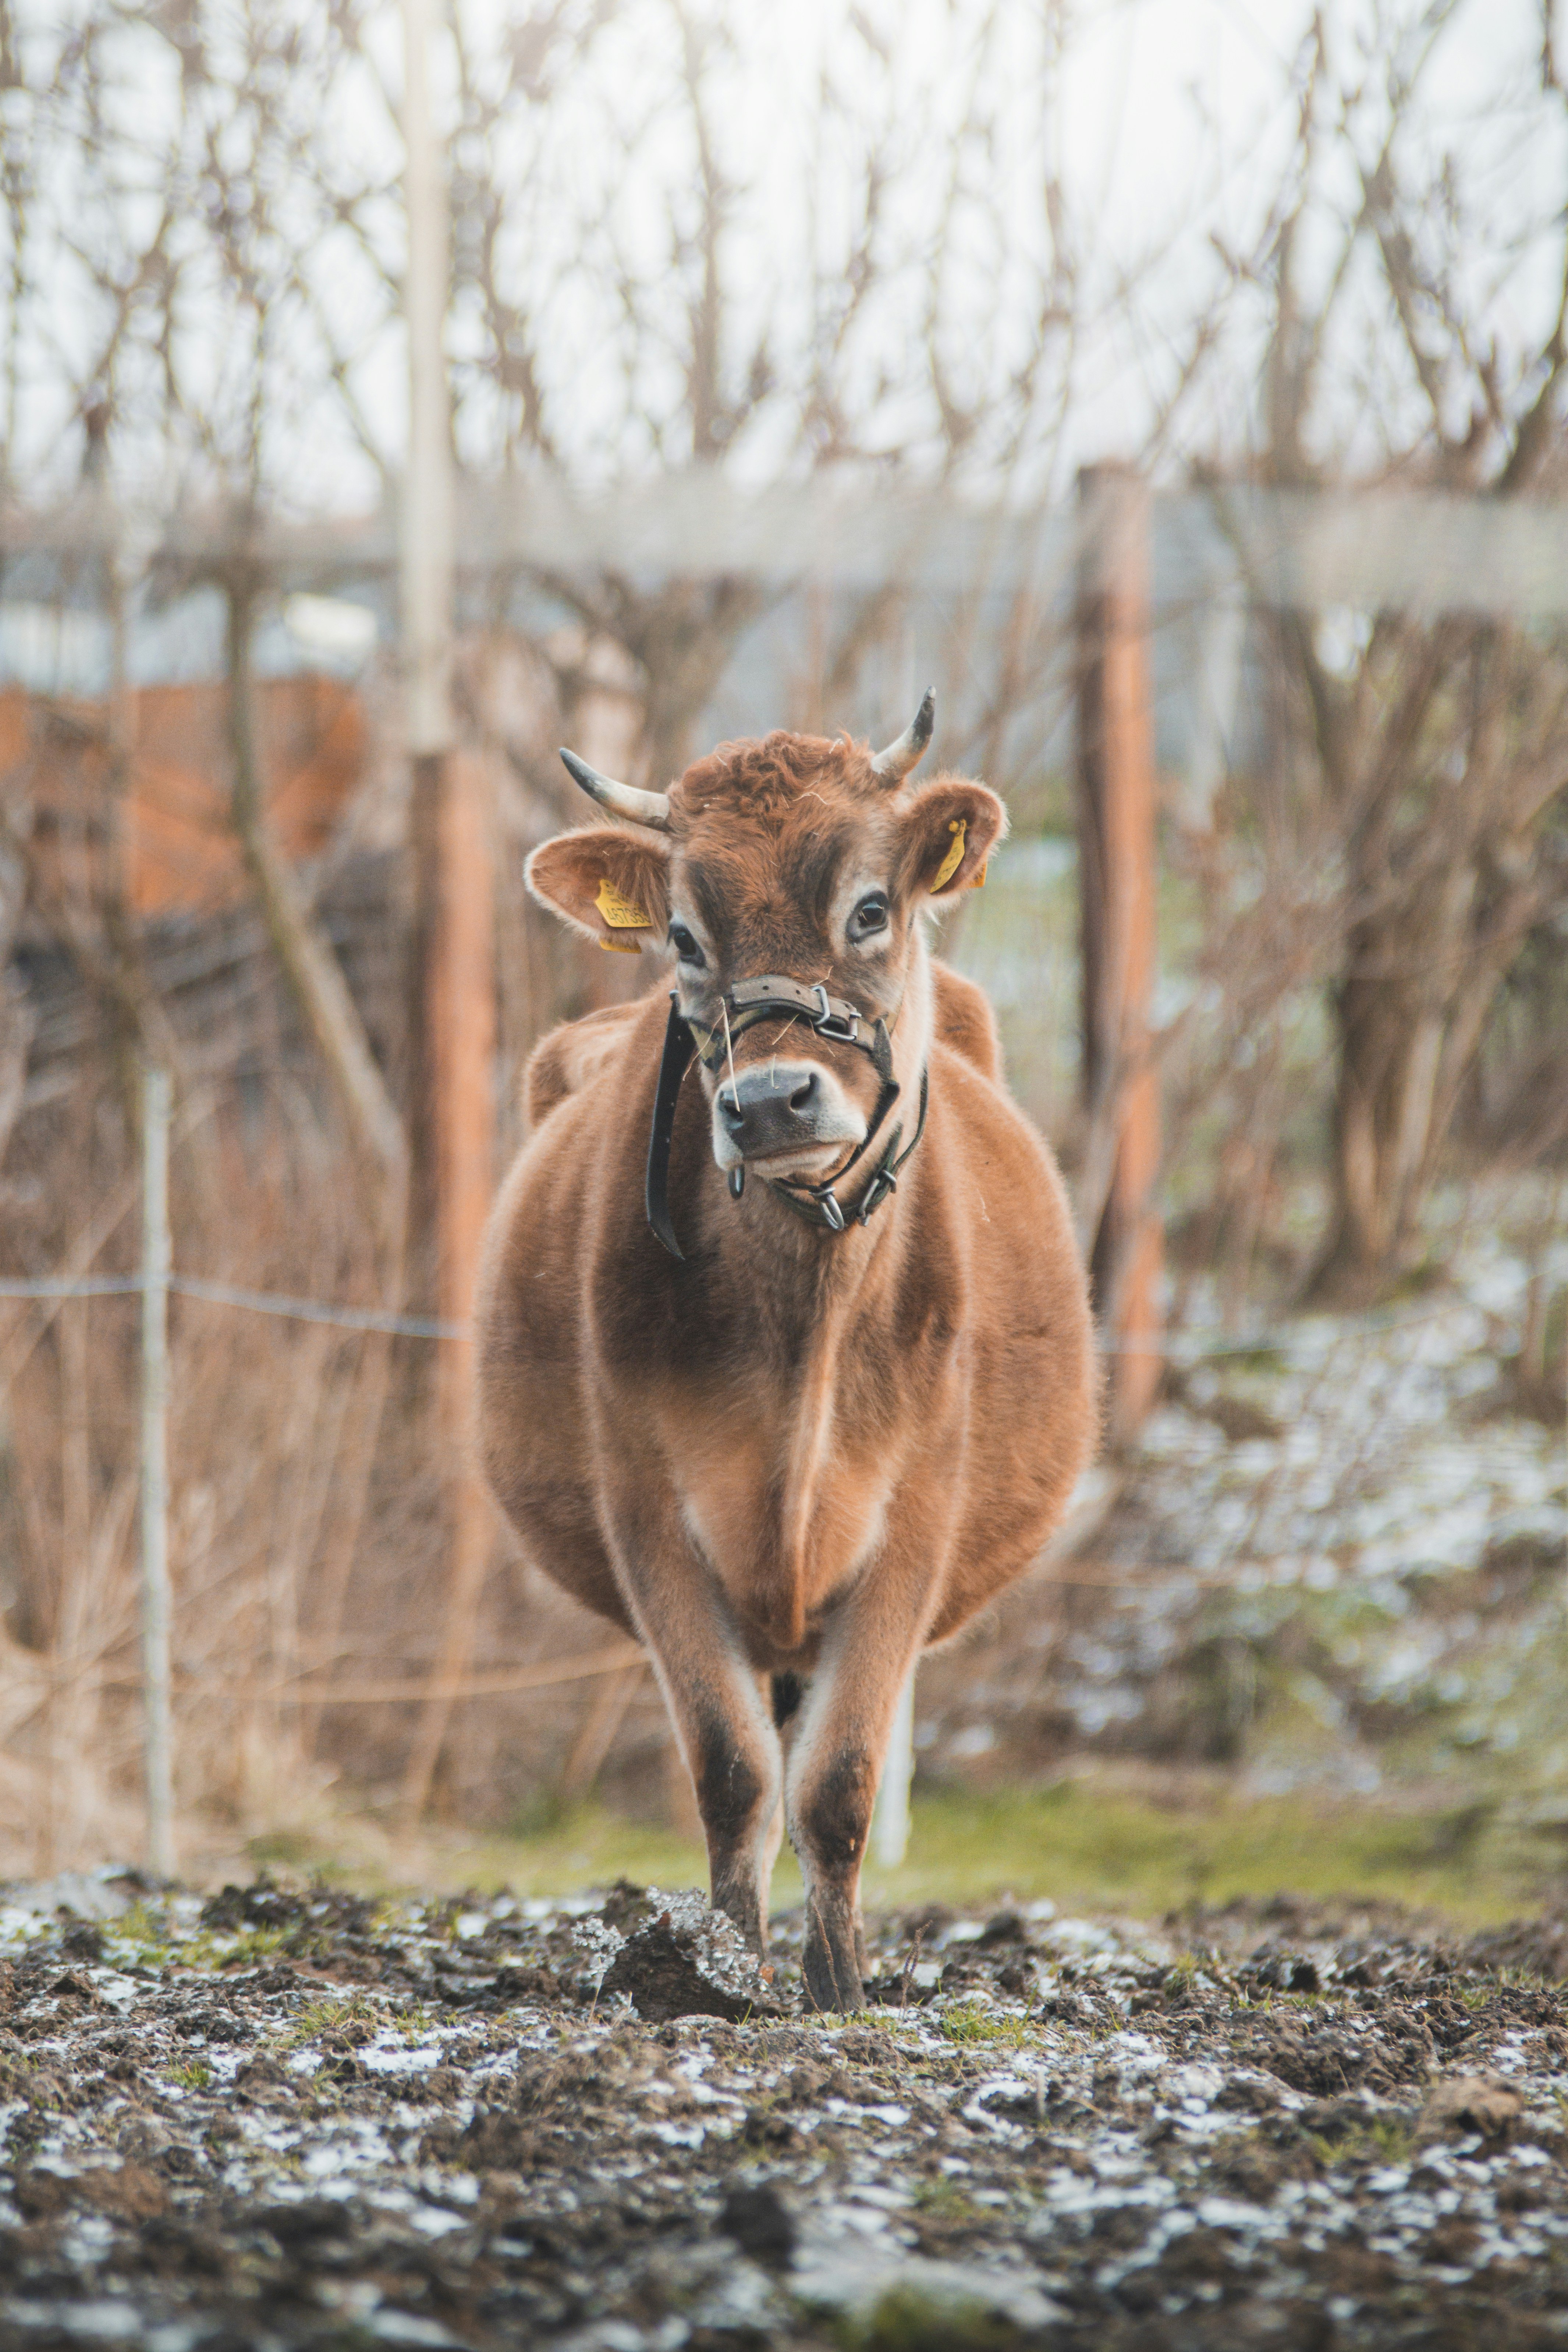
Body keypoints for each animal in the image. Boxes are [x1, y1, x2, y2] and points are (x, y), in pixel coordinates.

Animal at [476, 696, 1096, 2011]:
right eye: (681, 935)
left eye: (868, 908)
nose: (768, 1104)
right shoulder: (650, 1517)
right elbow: (734, 1772)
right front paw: (723, 1976)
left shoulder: (915, 1524)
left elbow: (839, 1780)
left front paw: (841, 1994)